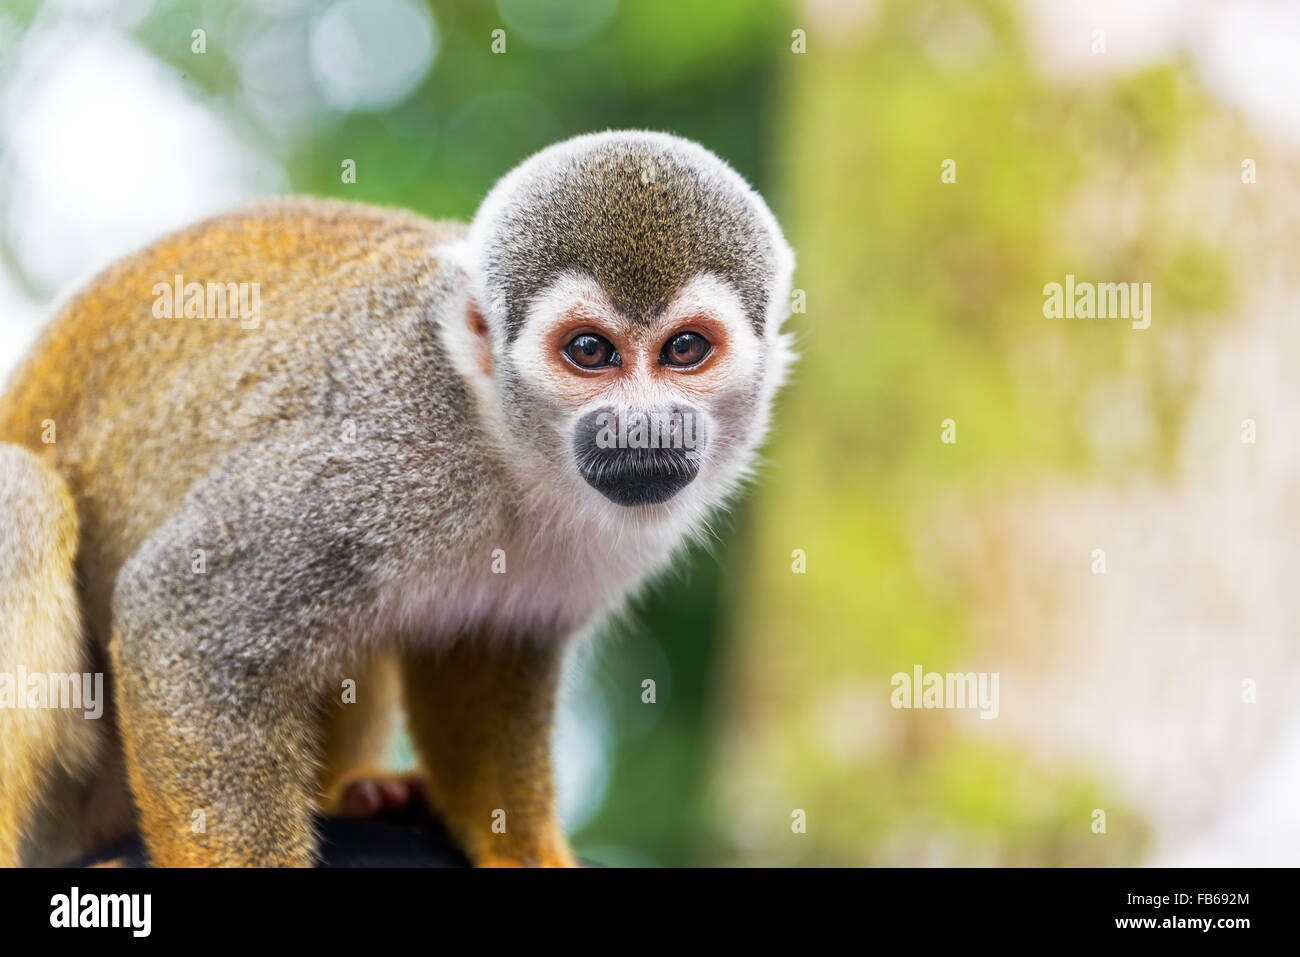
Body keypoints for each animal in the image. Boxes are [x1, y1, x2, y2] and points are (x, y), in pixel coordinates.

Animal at [0, 130, 795, 867]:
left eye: (685, 349)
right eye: (590, 351)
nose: (644, 426)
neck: (507, 448)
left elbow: (487, 652)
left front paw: (524, 851)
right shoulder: (377, 456)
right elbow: (180, 620)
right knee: (26, 499)